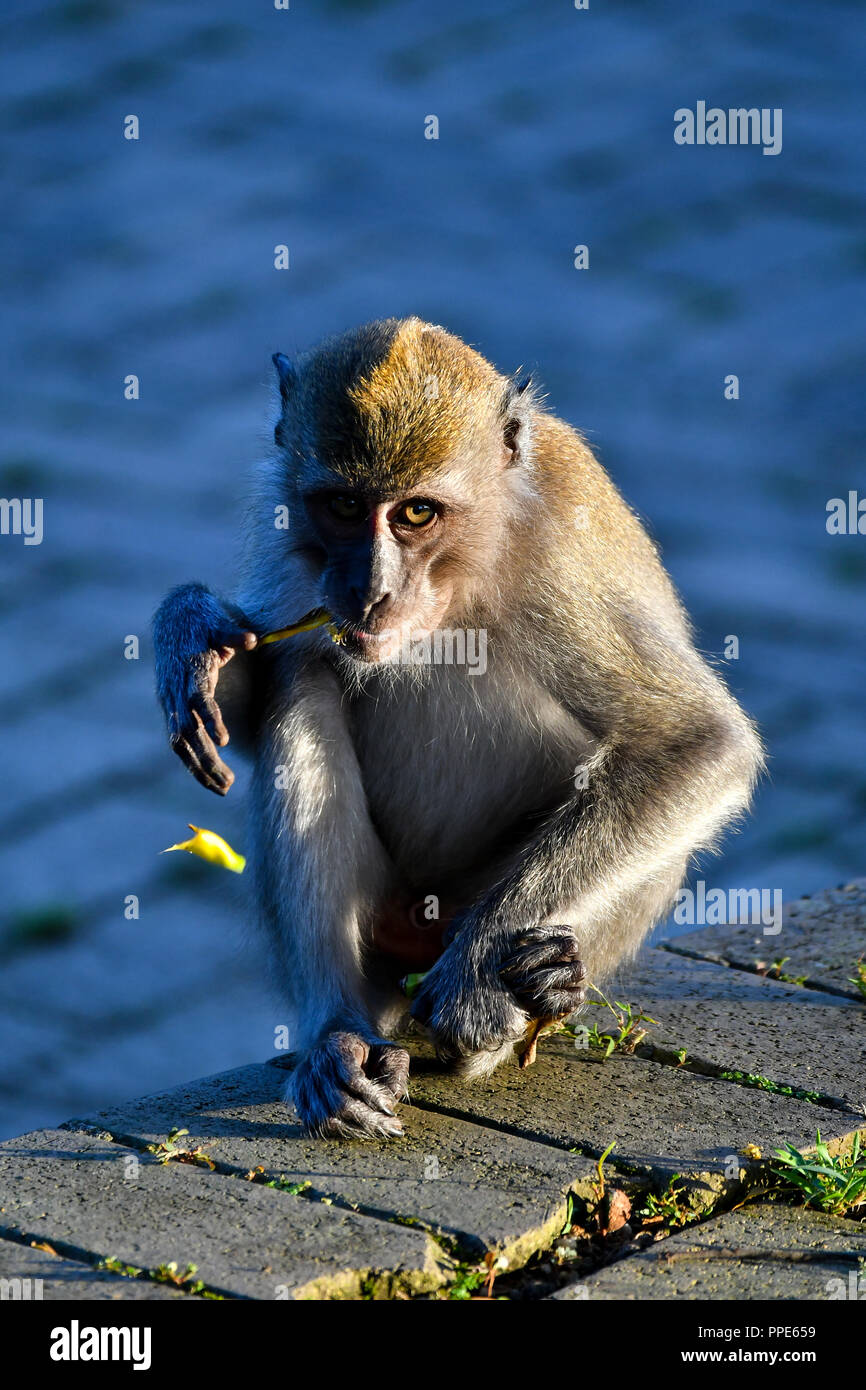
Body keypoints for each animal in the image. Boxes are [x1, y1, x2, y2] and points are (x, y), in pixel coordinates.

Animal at [153, 317, 763, 1139]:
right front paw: (190, 632)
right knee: (308, 683)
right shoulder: (289, 547)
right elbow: (267, 684)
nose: (370, 591)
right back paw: (339, 1034)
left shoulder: (562, 567)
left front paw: (480, 975)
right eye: (342, 506)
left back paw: (531, 997)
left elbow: (695, 742)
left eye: (416, 513)